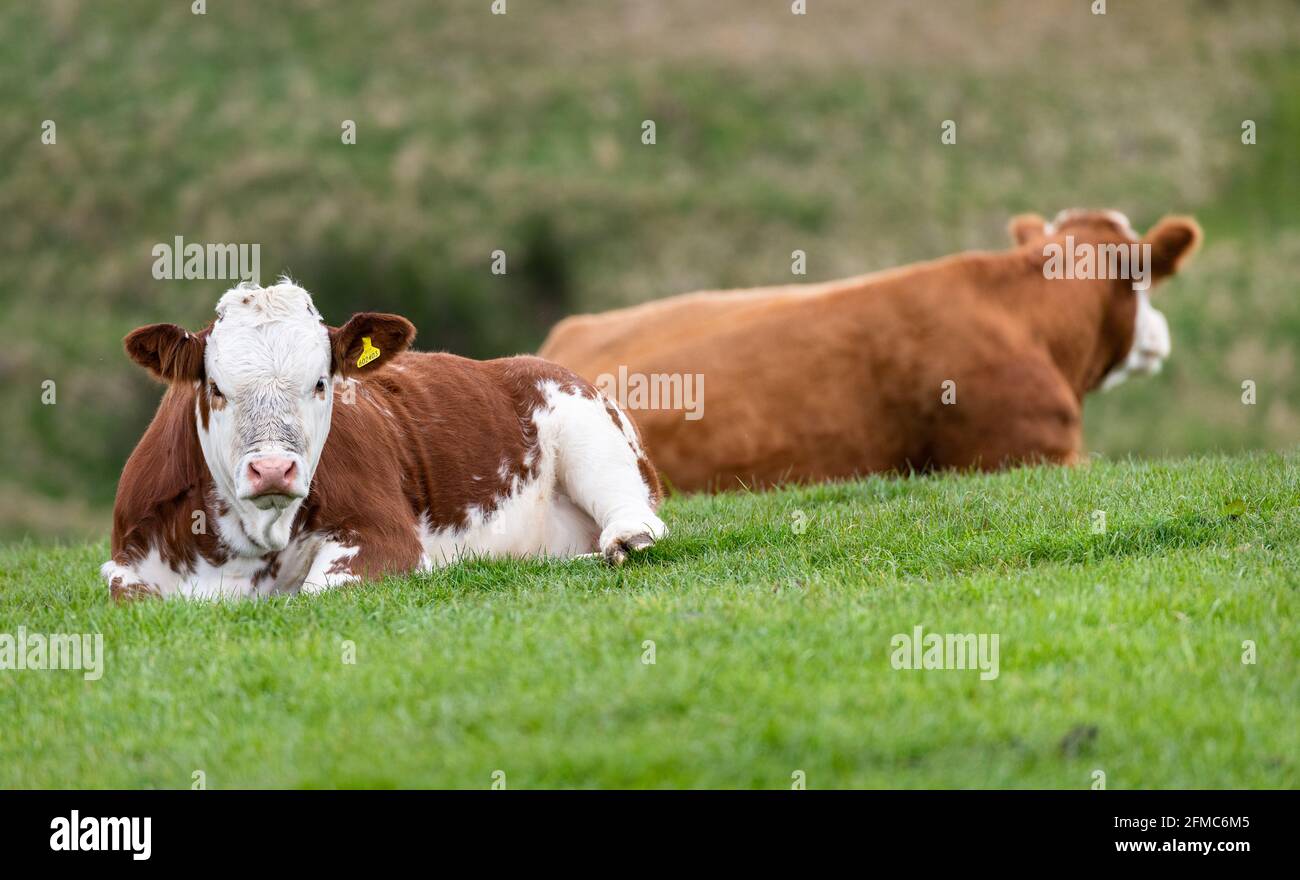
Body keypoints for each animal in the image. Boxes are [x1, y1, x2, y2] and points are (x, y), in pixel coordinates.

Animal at [102, 279, 666, 600]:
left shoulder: (384, 537)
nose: (273, 470)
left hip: (589, 430)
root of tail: (524, 362)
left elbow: (316, 591)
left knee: (635, 517)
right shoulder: (123, 565)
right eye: (216, 388)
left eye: (321, 382)